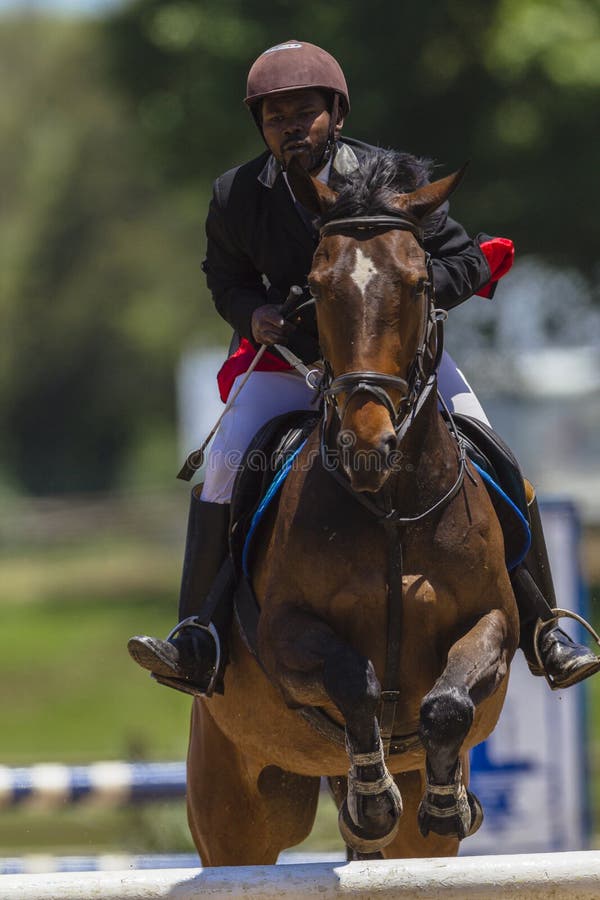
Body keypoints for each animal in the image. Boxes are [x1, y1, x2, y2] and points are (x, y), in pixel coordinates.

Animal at [186, 153, 519, 865]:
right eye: (316, 287)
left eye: (419, 284)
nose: (369, 444)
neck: (390, 507)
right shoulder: (285, 634)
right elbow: (353, 678)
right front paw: (373, 799)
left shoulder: (493, 624)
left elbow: (448, 704)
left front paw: (444, 803)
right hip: (234, 815)